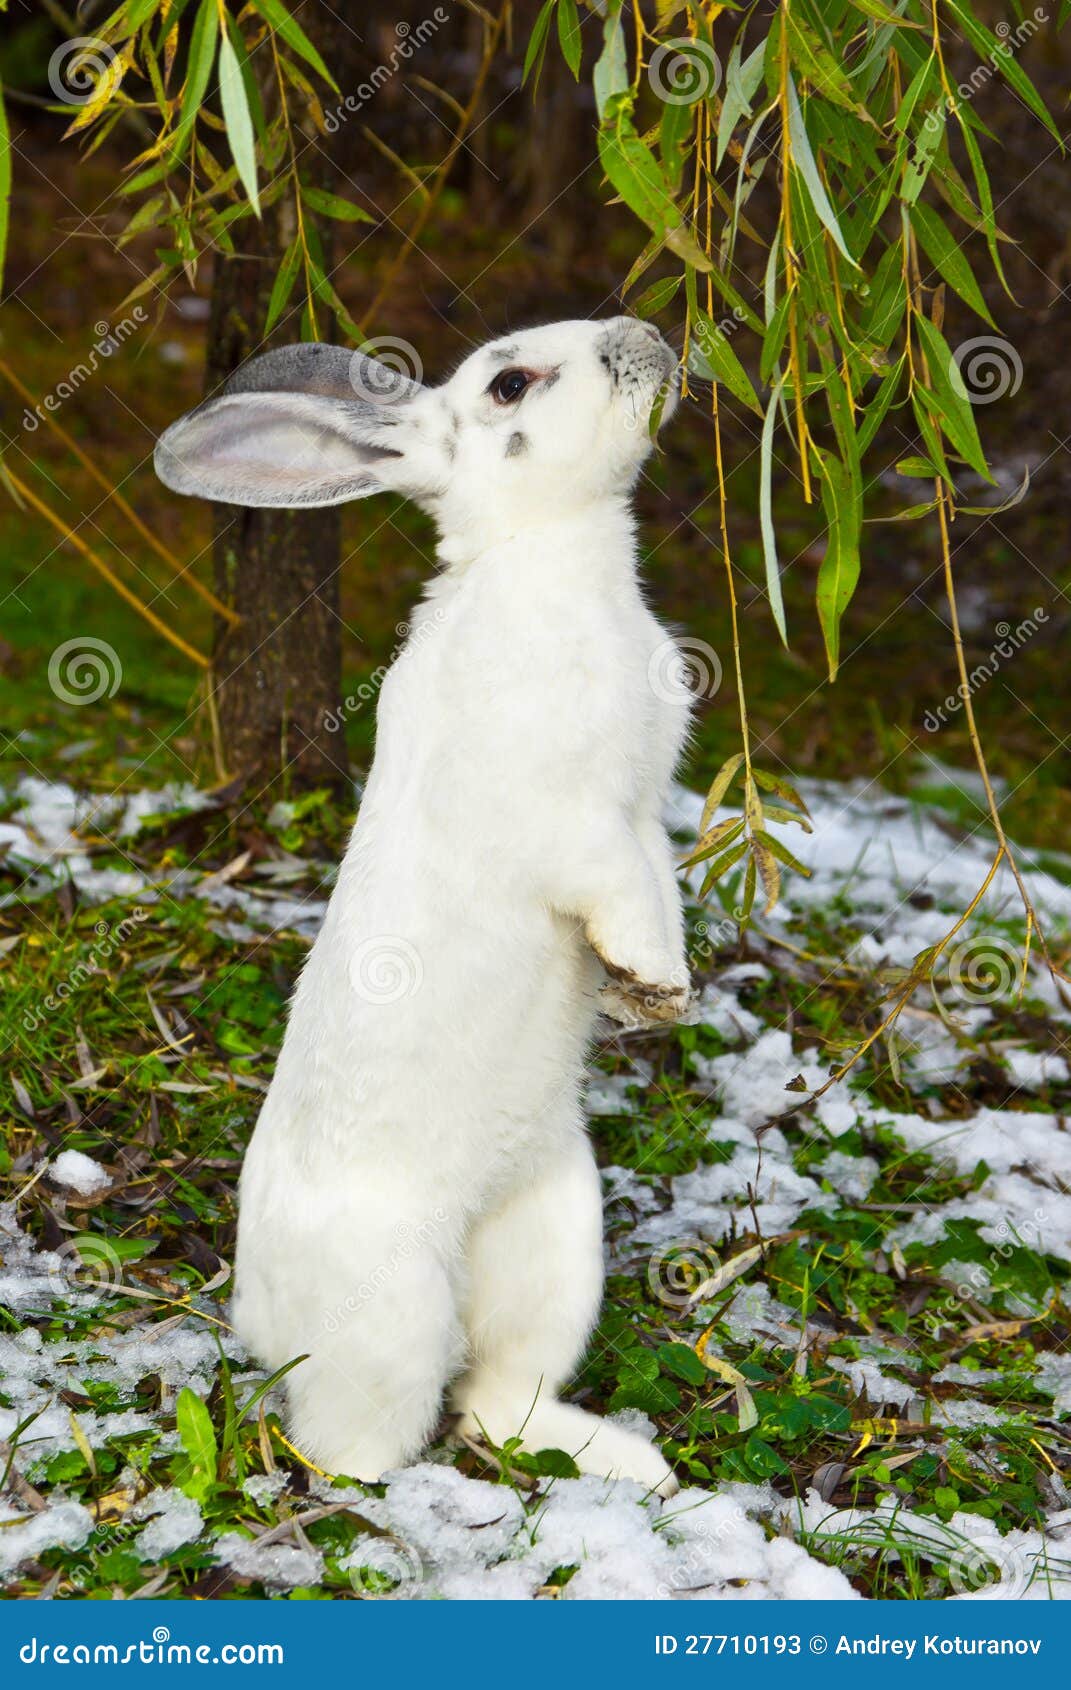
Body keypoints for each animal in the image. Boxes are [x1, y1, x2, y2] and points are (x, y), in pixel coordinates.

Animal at [155, 317, 695, 1497]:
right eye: (510, 383)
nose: (646, 336)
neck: (541, 552)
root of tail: (257, 1315)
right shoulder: (573, 825)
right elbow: (618, 889)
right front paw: (653, 981)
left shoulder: (645, 817)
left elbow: (661, 881)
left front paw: (648, 995)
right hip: (393, 1310)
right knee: (358, 1437)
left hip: (559, 1231)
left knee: (498, 1392)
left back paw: (624, 1462)